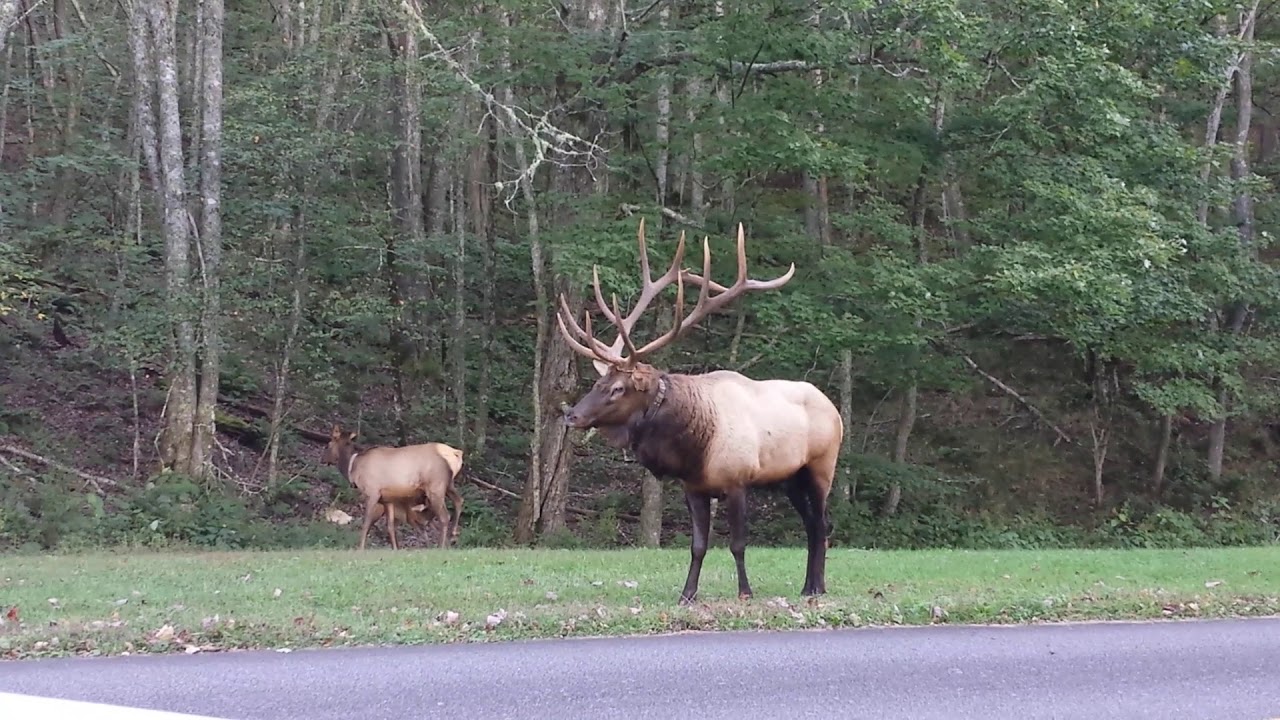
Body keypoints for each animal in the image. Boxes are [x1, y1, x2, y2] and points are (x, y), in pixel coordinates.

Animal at [322, 425, 465, 551]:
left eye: (328, 444)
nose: (323, 460)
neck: (352, 468)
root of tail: (456, 453)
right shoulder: (387, 499)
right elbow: (390, 526)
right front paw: (395, 549)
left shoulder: (372, 492)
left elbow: (366, 522)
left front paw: (360, 548)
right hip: (449, 484)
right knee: (459, 500)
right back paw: (453, 536)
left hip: (436, 486)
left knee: (444, 516)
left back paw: (441, 546)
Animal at [556, 218, 843, 605]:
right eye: (598, 382)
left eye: (618, 388)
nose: (572, 415)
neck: (693, 447)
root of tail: (834, 409)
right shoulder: (693, 487)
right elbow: (698, 546)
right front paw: (687, 594)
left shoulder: (738, 480)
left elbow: (737, 544)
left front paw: (744, 592)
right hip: (789, 478)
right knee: (812, 524)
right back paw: (810, 586)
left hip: (821, 467)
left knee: (822, 523)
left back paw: (817, 586)